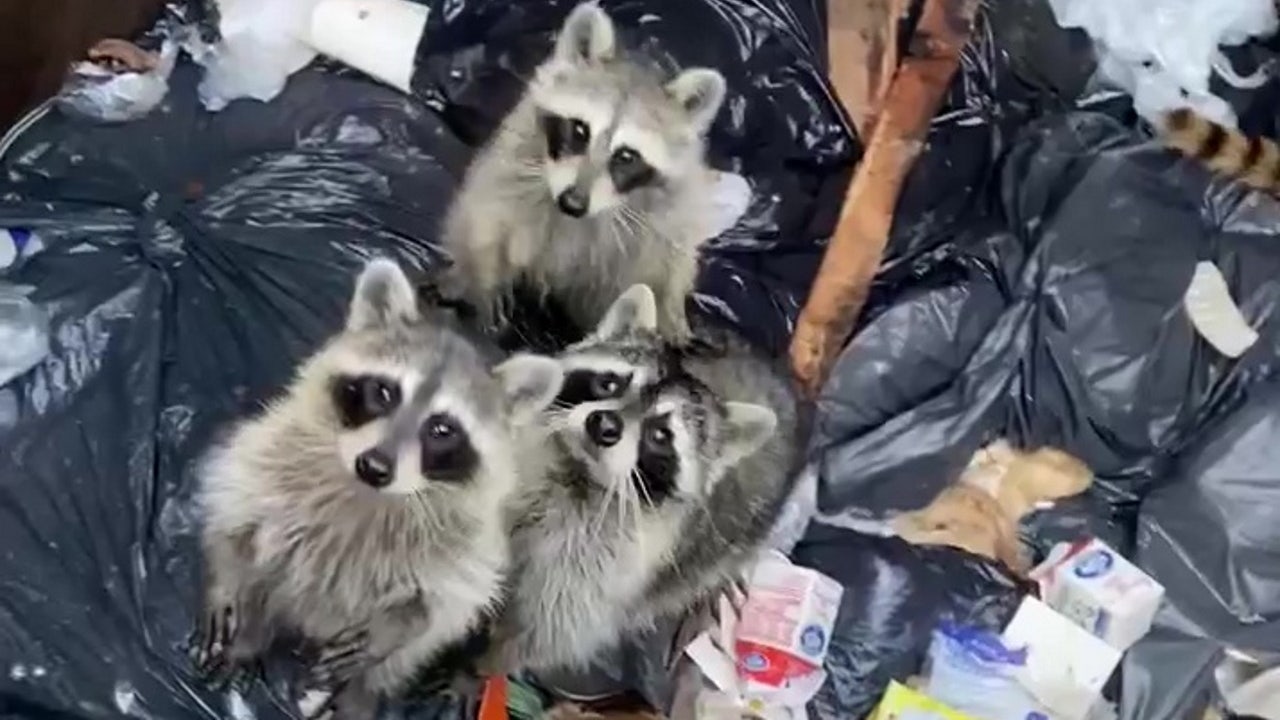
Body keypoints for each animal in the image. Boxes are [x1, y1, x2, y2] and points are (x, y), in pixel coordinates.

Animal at [191, 259, 564, 718]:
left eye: (441, 429)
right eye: (384, 392)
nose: (374, 466)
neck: (369, 493)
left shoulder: (471, 538)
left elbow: (444, 601)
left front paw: (398, 627)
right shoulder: (270, 450)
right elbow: (233, 514)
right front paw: (226, 589)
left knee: (399, 659)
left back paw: (360, 694)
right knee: (262, 582)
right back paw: (250, 638)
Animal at [440, 2, 728, 342]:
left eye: (626, 156)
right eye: (579, 130)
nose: (572, 203)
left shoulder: (664, 220)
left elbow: (663, 271)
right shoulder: (517, 154)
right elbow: (485, 215)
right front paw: (479, 280)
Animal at [487, 285, 799, 675]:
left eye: (660, 435)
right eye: (609, 383)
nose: (603, 426)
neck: (577, 472)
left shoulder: (598, 570)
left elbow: (541, 632)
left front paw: (484, 661)